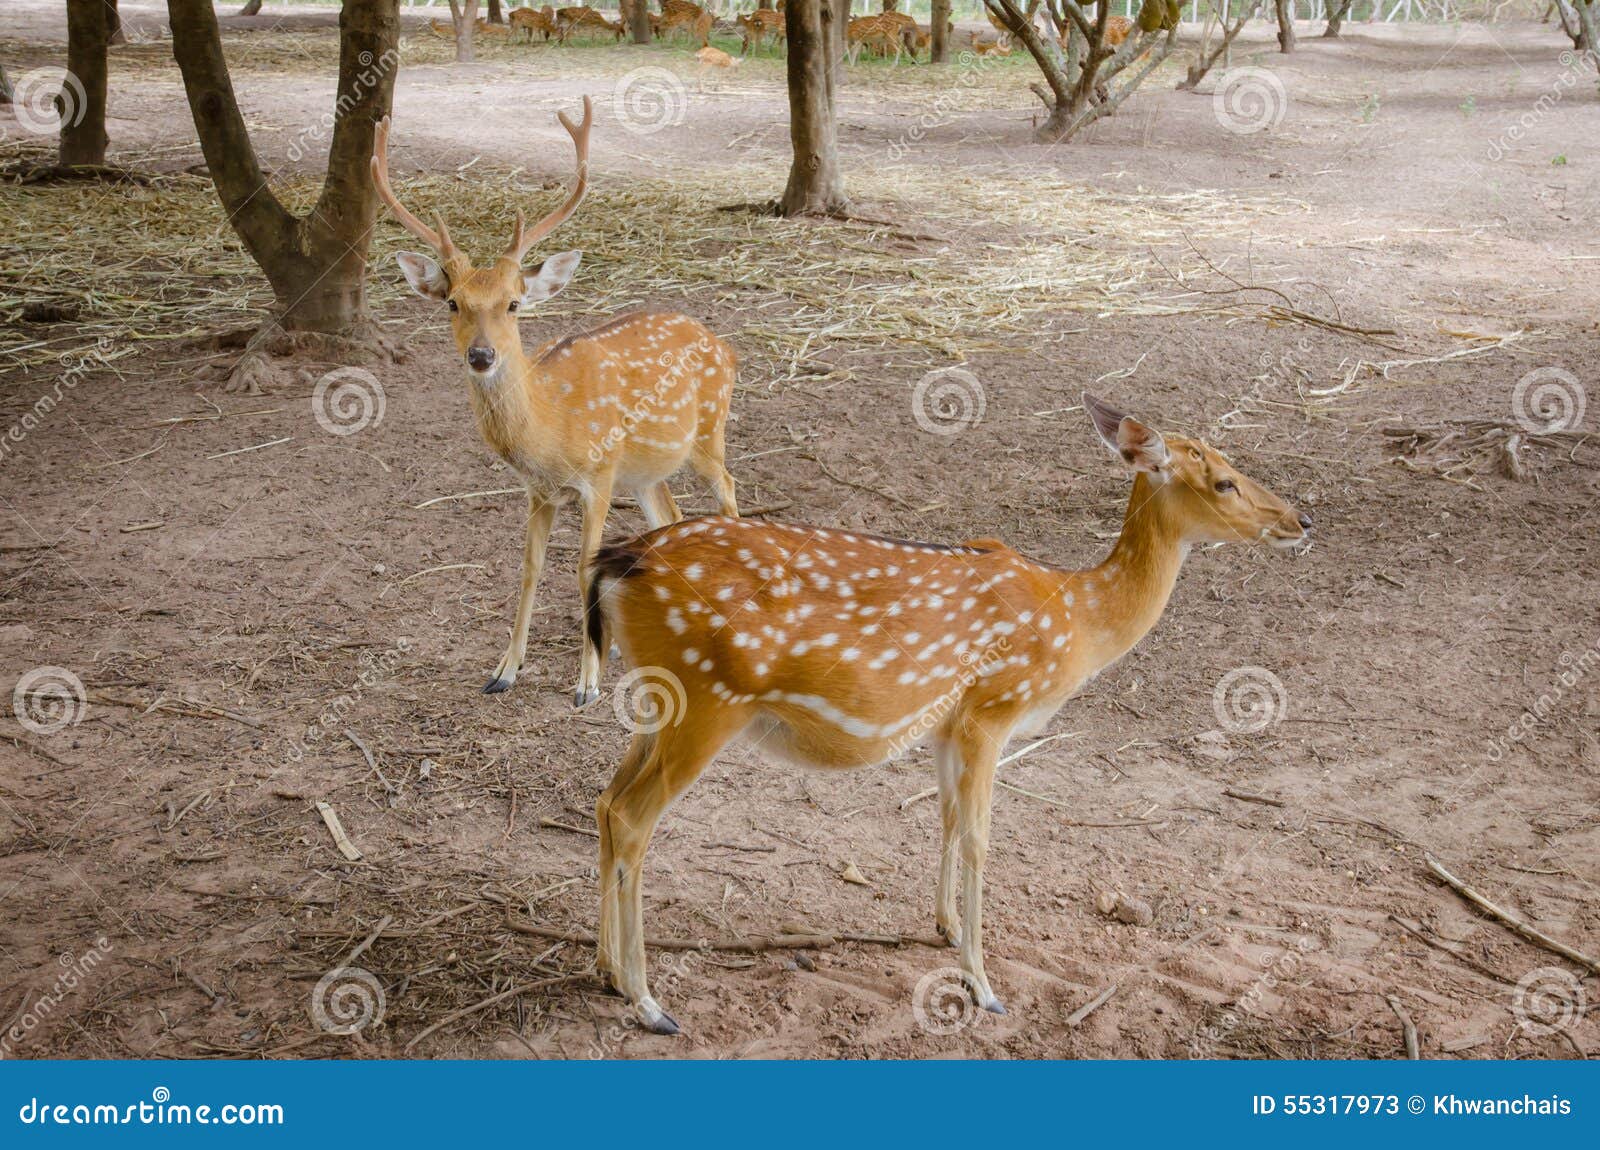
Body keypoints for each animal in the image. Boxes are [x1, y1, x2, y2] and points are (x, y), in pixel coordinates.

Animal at [371, 98, 741, 706]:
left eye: (514, 303)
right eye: (452, 303)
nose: (481, 355)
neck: (552, 427)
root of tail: (725, 346)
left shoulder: (598, 476)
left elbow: (582, 569)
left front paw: (586, 683)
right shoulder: (540, 490)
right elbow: (529, 568)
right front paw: (504, 670)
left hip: (708, 433)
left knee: (728, 493)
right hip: (645, 472)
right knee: (672, 515)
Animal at [582, 394, 1312, 1034]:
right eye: (1223, 481)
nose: (1300, 522)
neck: (1079, 619)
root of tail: (618, 563)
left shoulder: (946, 721)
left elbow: (947, 818)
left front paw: (946, 927)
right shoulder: (995, 707)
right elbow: (983, 837)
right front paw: (983, 985)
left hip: (657, 701)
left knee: (605, 800)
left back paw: (608, 972)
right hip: (708, 698)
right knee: (633, 817)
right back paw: (649, 1003)